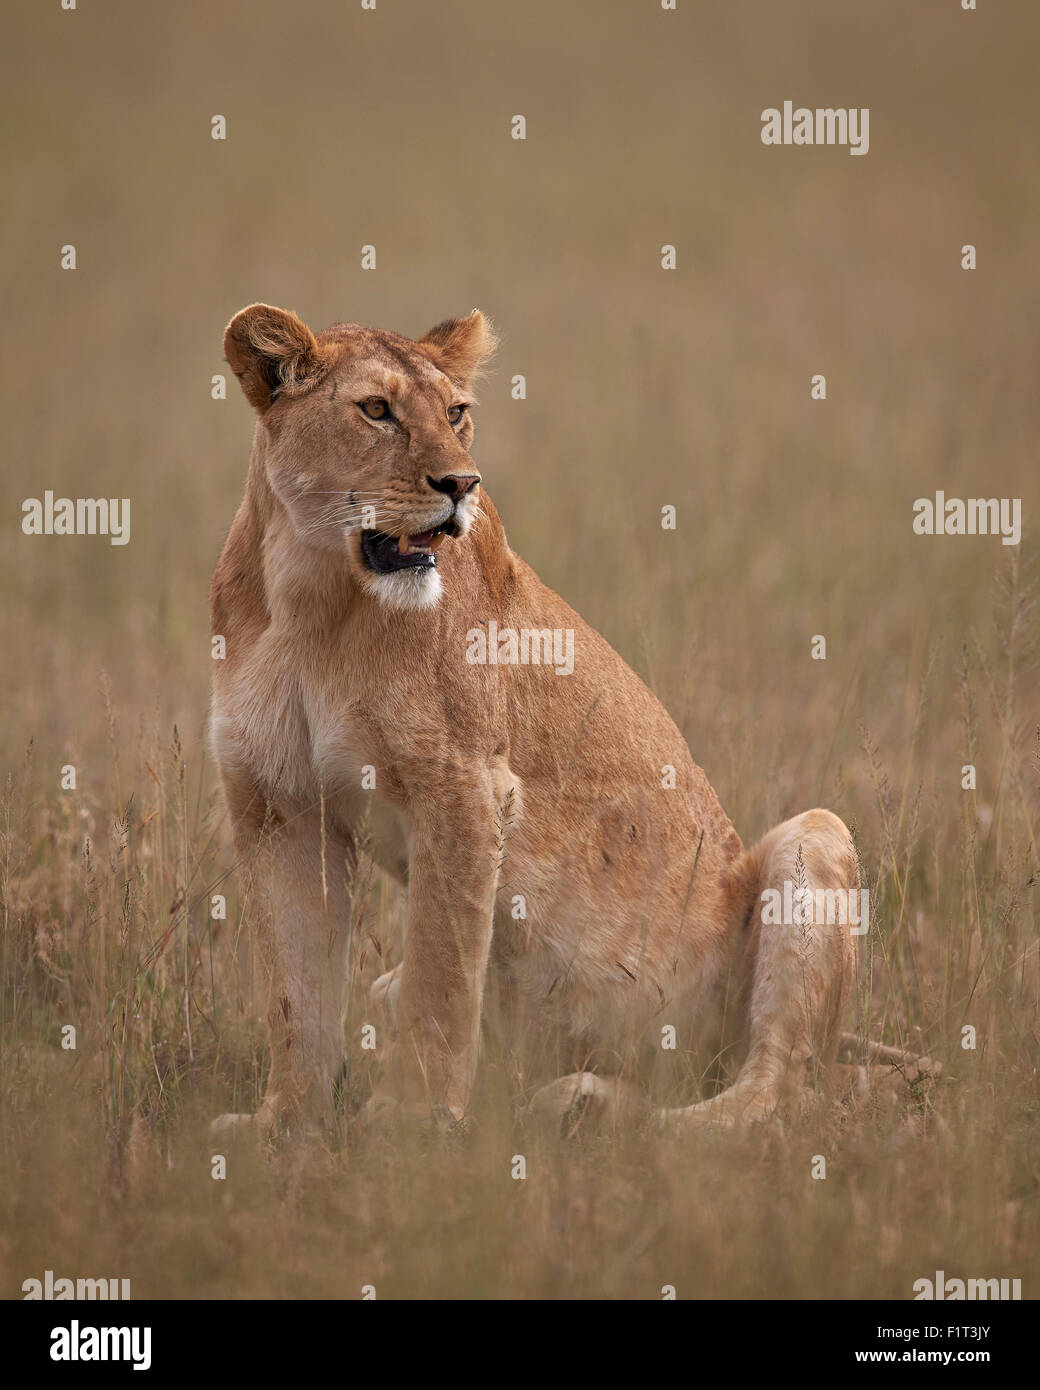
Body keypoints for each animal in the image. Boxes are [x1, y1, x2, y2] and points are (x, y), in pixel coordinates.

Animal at [209, 303, 931, 1139]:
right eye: (377, 410)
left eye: (457, 414)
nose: (461, 484)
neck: (312, 592)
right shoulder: (277, 804)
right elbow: (295, 993)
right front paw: (283, 1126)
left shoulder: (464, 784)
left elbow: (440, 972)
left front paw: (413, 1121)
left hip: (816, 837)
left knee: (779, 1092)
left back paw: (615, 1117)